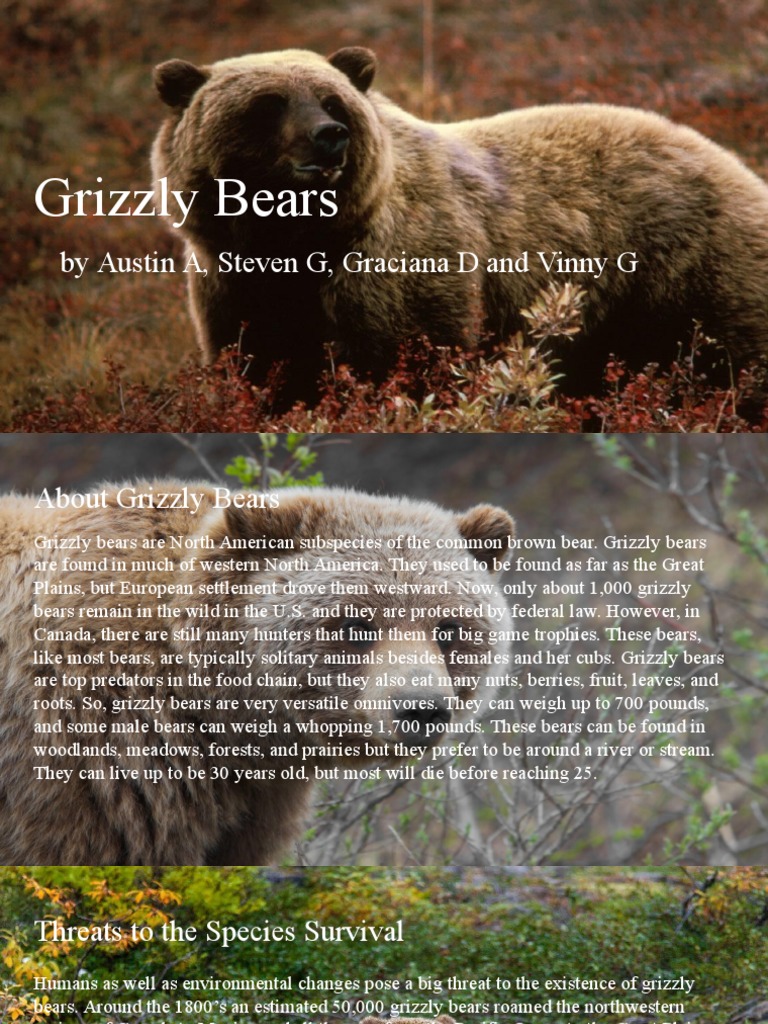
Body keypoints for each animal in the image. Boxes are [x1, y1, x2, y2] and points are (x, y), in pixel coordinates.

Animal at [151, 46, 768, 405]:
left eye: (331, 100)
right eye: (270, 103)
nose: (329, 136)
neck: (297, 241)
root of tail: (734, 162)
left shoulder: (396, 270)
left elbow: (407, 362)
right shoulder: (233, 284)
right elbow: (260, 367)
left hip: (687, 274)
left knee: (735, 360)